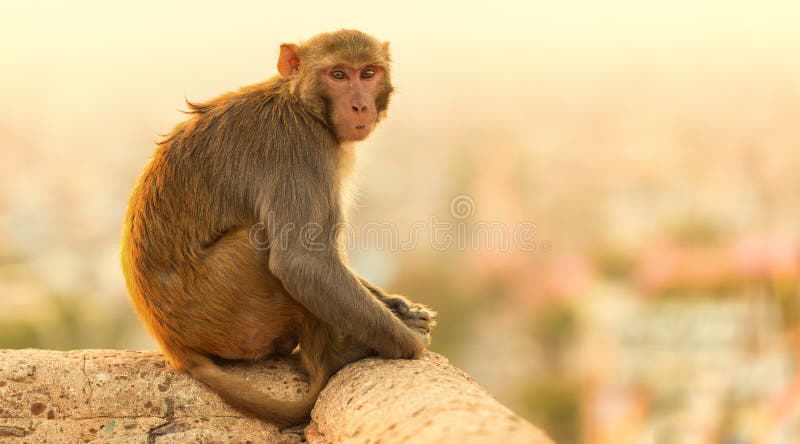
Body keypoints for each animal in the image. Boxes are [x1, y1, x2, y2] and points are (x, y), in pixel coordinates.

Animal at [120, 29, 436, 427]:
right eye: (337, 75)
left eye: (368, 73)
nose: (360, 106)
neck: (303, 106)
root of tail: (175, 348)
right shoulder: (299, 150)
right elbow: (303, 262)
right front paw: (410, 343)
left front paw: (398, 306)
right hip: (226, 303)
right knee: (262, 247)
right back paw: (335, 355)